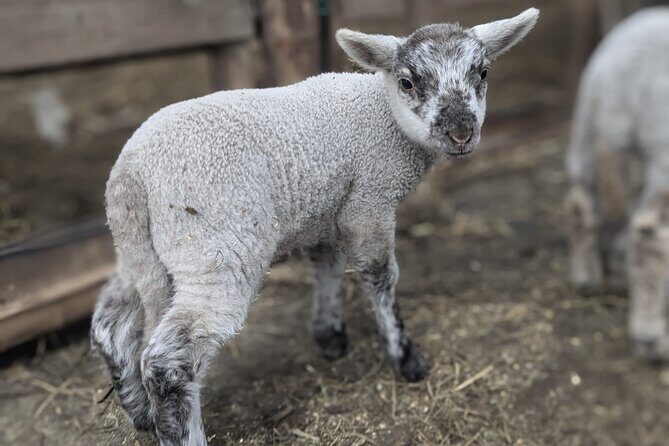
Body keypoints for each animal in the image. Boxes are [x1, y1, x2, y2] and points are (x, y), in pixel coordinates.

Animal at [91, 9, 539, 445]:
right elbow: (381, 276)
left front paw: (329, 335)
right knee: (168, 360)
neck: (381, 112)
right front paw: (403, 355)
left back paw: (140, 414)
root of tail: (132, 172)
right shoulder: (369, 202)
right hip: (215, 247)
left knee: (110, 327)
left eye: (483, 73)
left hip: (140, 252)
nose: (461, 133)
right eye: (408, 82)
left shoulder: (325, 210)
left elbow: (326, 267)